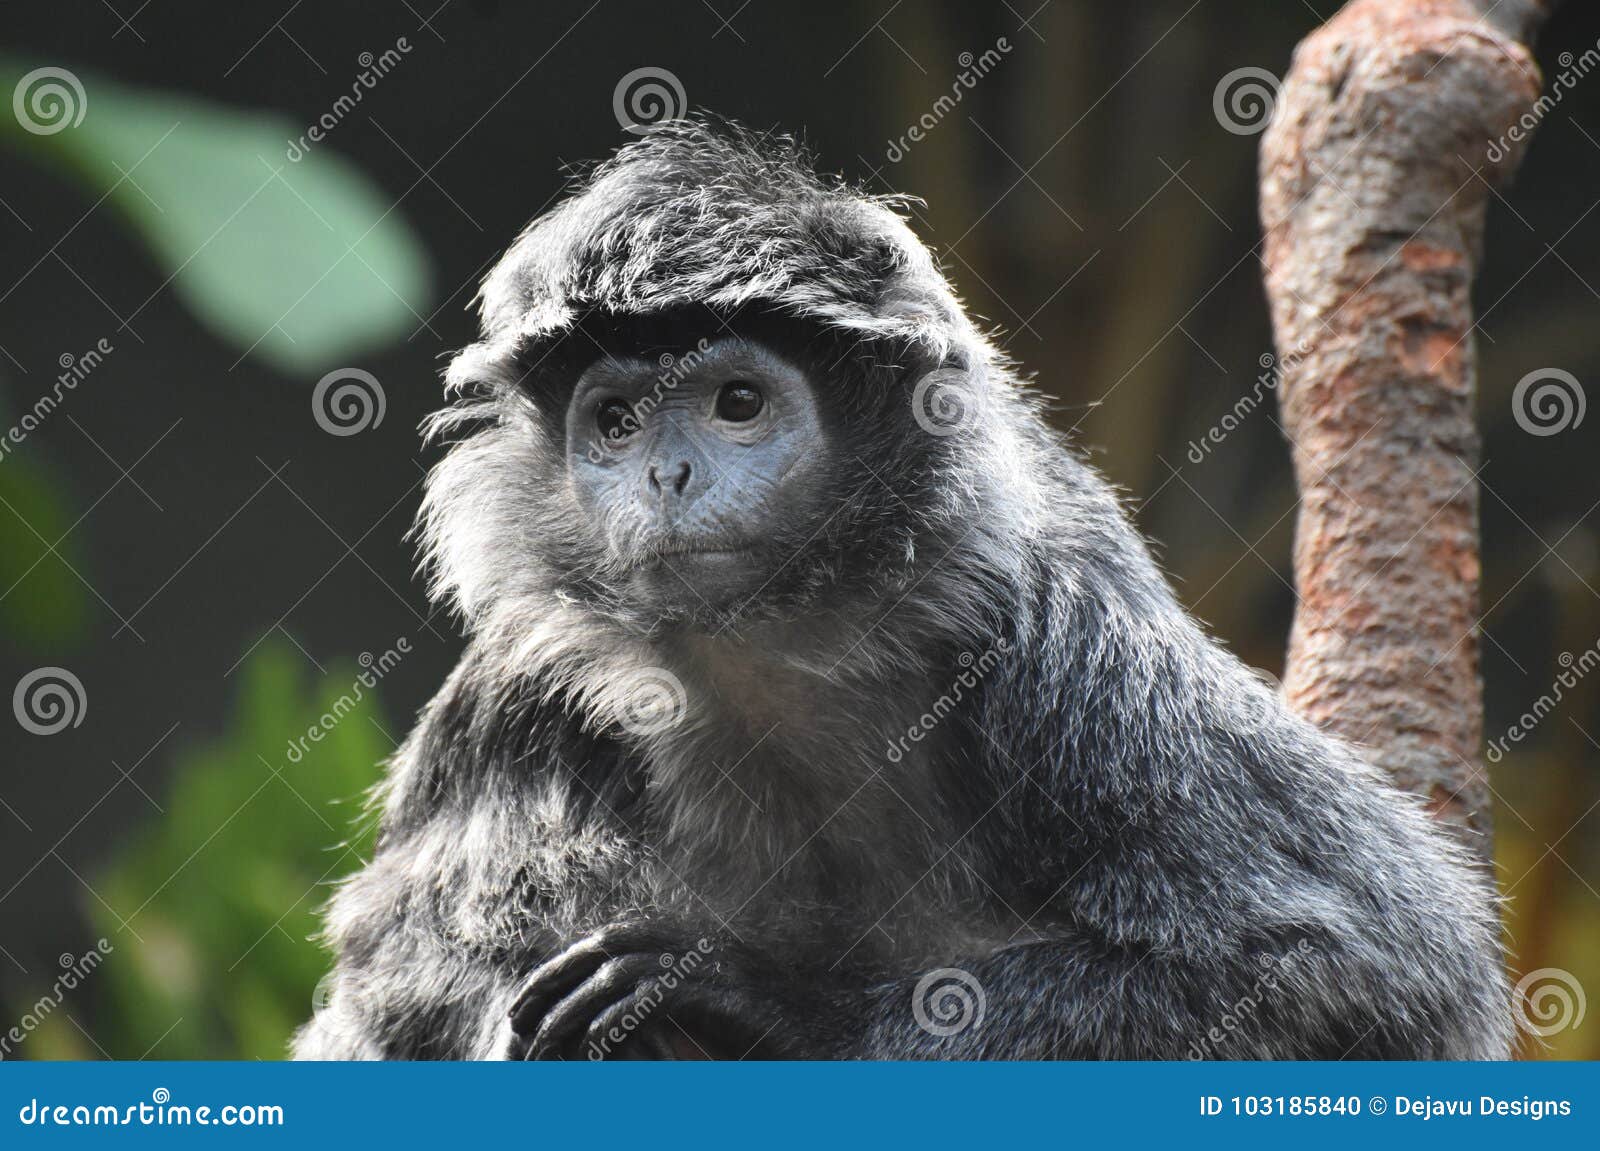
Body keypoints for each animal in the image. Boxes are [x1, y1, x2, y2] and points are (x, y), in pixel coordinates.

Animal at [292, 121, 1511, 1061]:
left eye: (738, 402)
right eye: (617, 419)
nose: (667, 474)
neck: (773, 644)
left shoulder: (1058, 647)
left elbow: (1360, 963)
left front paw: (778, 1006)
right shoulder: (526, 675)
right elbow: (388, 992)